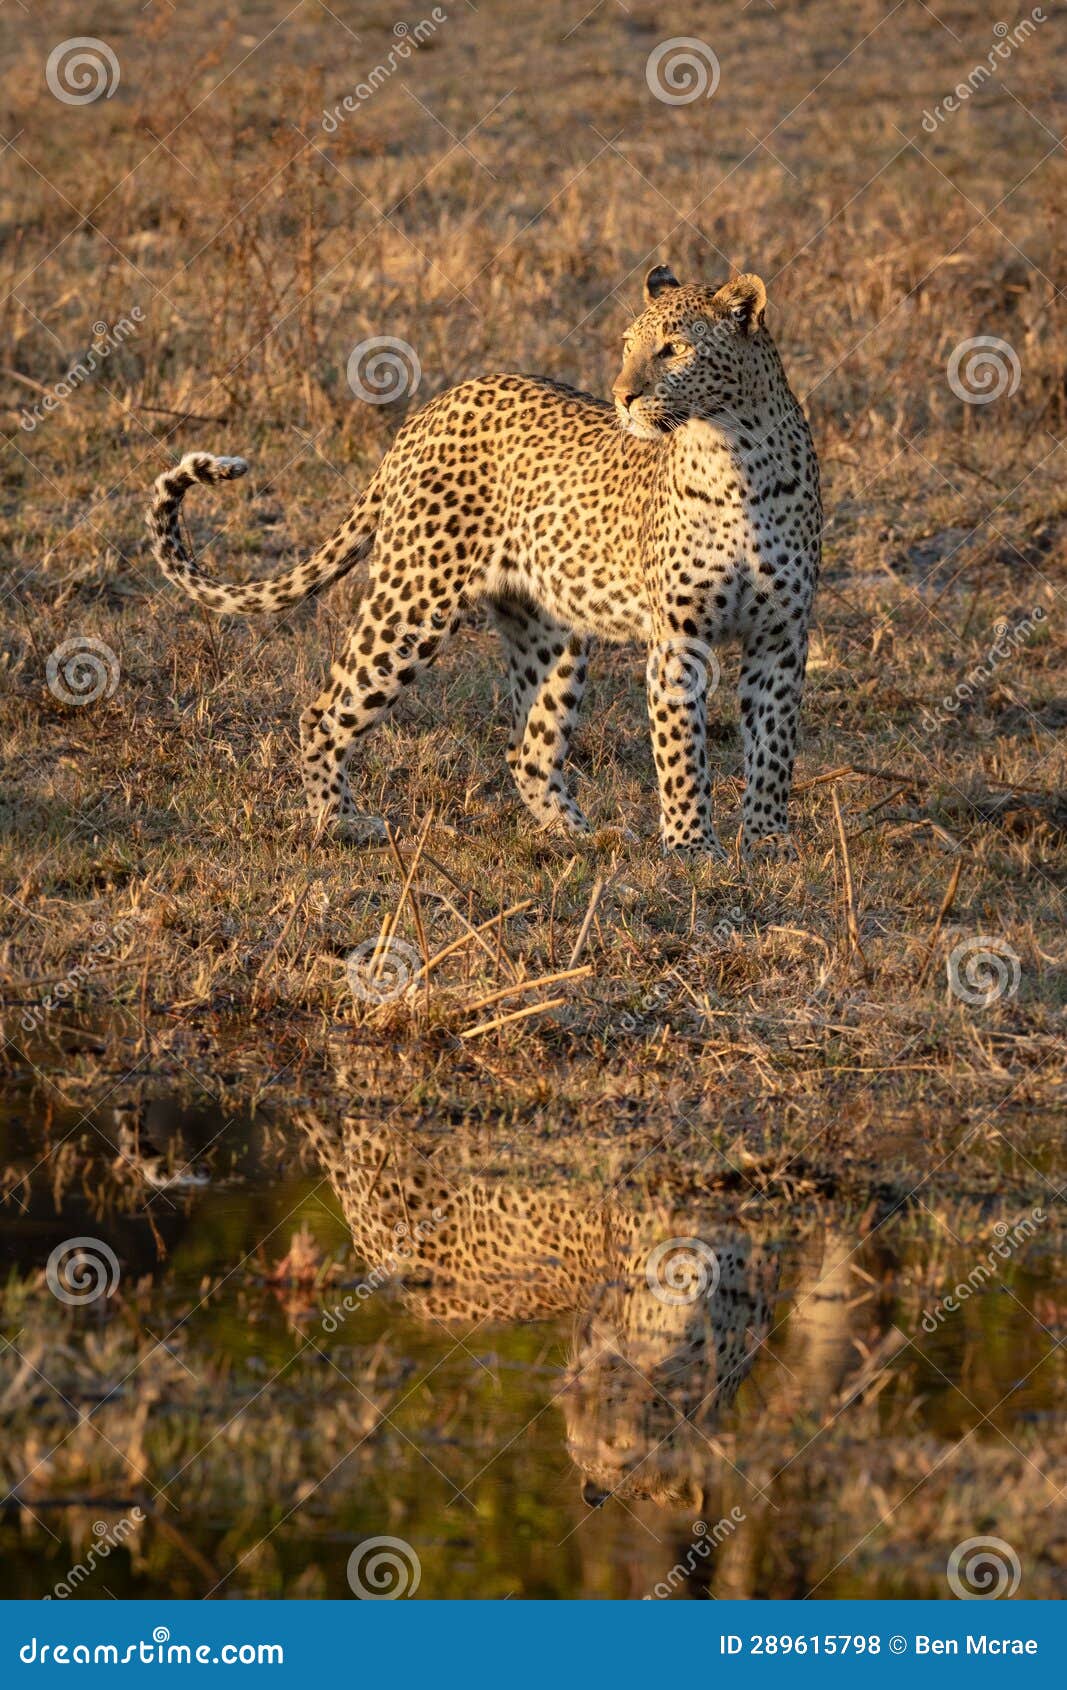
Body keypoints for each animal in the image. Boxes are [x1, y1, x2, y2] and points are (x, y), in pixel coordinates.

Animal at [147, 264, 821, 861]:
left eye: (674, 349)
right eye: (629, 346)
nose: (623, 397)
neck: (733, 453)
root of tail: (428, 410)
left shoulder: (783, 635)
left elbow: (773, 745)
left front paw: (768, 841)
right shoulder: (680, 636)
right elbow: (682, 749)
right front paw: (691, 848)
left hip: (549, 633)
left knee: (530, 751)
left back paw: (582, 837)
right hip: (413, 600)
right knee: (325, 711)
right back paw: (341, 823)